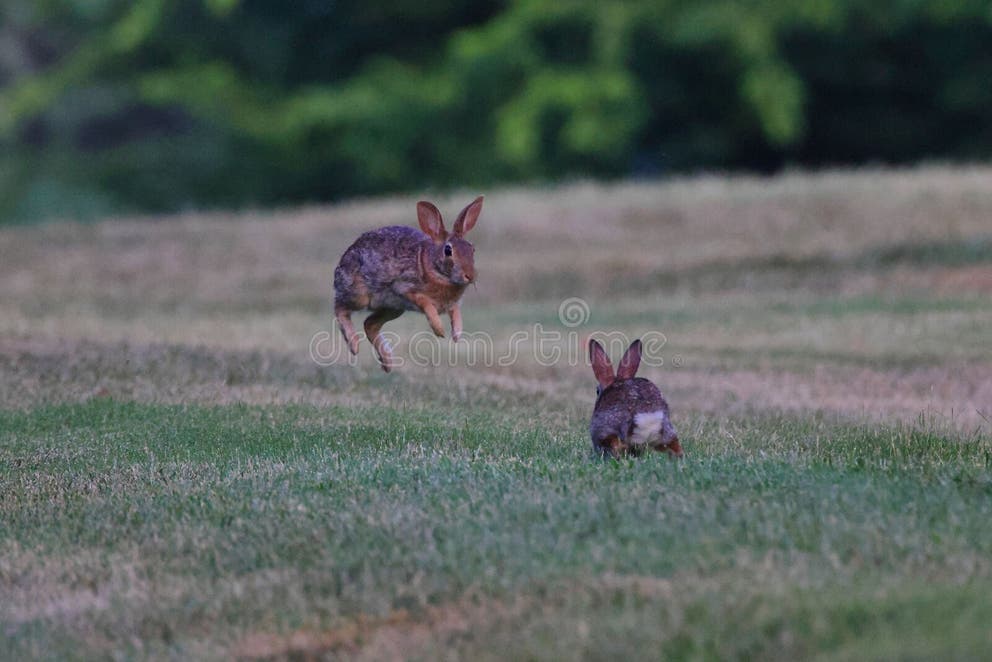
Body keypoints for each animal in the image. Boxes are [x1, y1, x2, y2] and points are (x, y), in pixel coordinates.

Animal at [333, 196, 483, 372]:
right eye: (448, 250)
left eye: (472, 249)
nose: (470, 276)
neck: (433, 267)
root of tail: (341, 263)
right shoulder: (405, 289)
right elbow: (426, 304)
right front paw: (440, 330)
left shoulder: (453, 305)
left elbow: (456, 314)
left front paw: (457, 336)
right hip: (360, 295)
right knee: (340, 308)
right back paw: (354, 345)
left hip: (393, 309)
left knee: (369, 324)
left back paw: (387, 362)